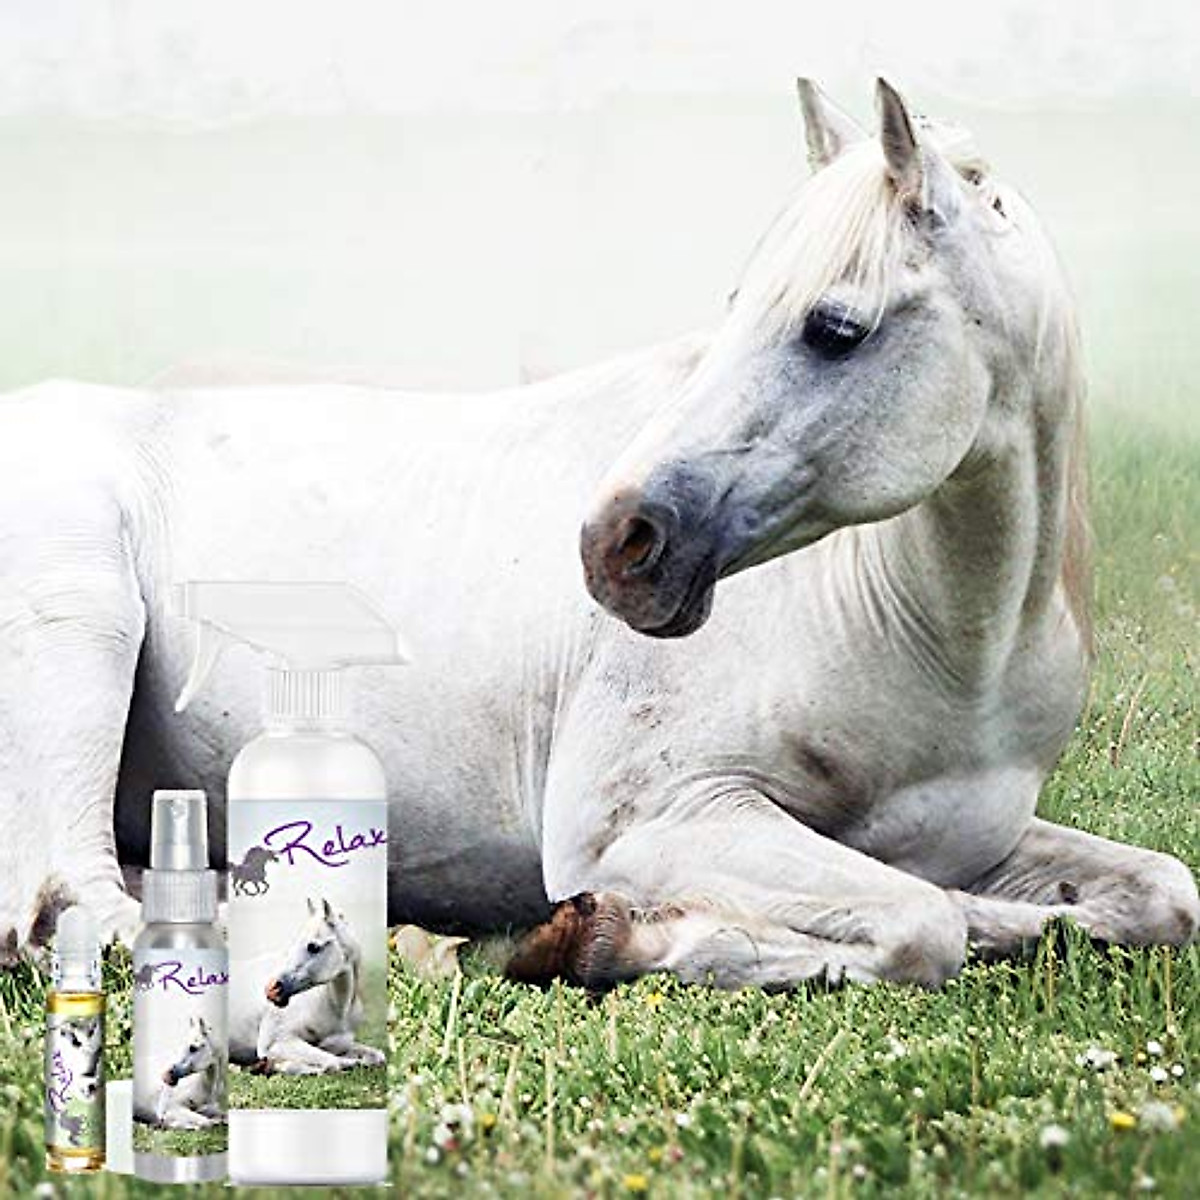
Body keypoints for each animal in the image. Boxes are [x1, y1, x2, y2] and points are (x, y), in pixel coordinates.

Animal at [0, 79, 1194, 988]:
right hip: (84, 631)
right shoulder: (654, 823)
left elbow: (1157, 896)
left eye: (834, 327)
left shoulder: (972, 839)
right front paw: (614, 934)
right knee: (80, 909)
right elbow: (923, 923)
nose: (617, 544)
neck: (935, 643)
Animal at [228, 898, 383, 1075]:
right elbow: (334, 1063)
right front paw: (277, 1066)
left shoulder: (340, 1044)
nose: (271, 989)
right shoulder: (277, 1043)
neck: (335, 1009)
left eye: (313, 947)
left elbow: (376, 1056)